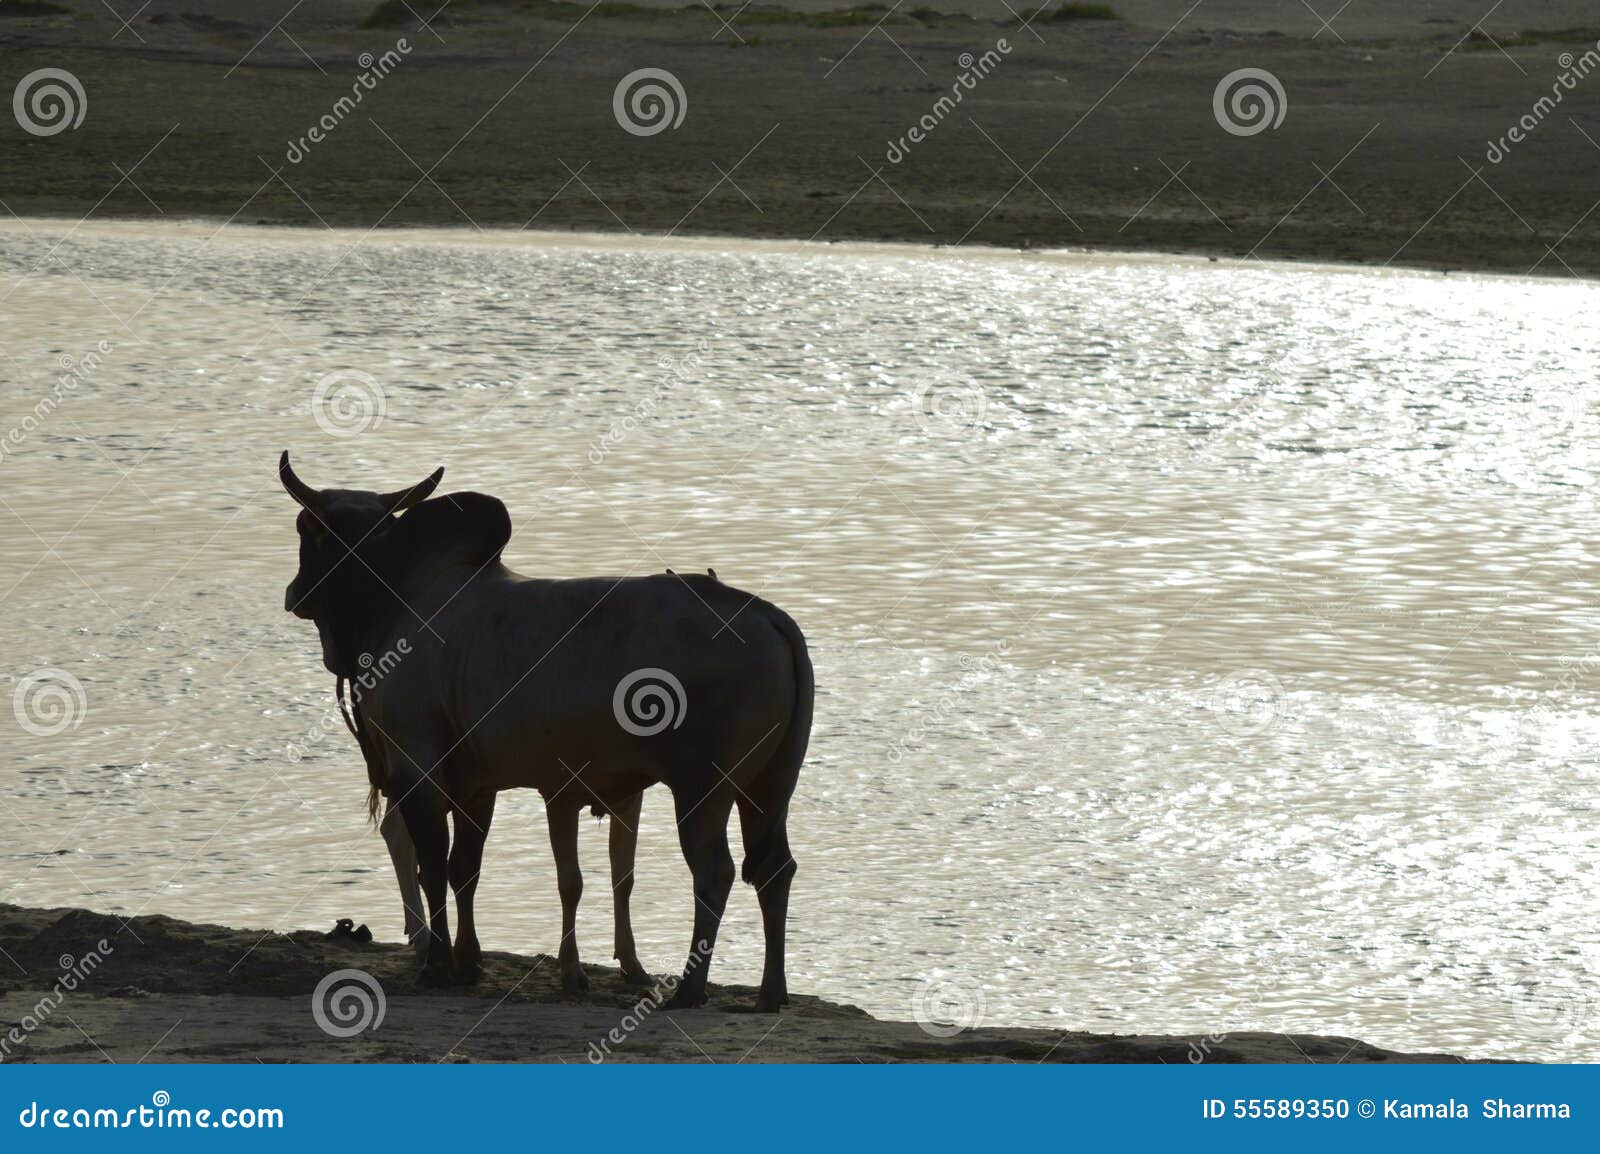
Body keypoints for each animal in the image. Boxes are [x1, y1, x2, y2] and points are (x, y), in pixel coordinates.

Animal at [279, 453, 811, 1010]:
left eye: (305, 527)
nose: (294, 594)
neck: (395, 594)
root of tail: (767, 615)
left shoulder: (416, 767)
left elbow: (433, 864)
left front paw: (438, 964)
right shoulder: (478, 784)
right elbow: (464, 867)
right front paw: (468, 961)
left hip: (701, 788)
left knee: (714, 874)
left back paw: (689, 989)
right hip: (770, 785)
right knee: (775, 868)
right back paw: (771, 991)